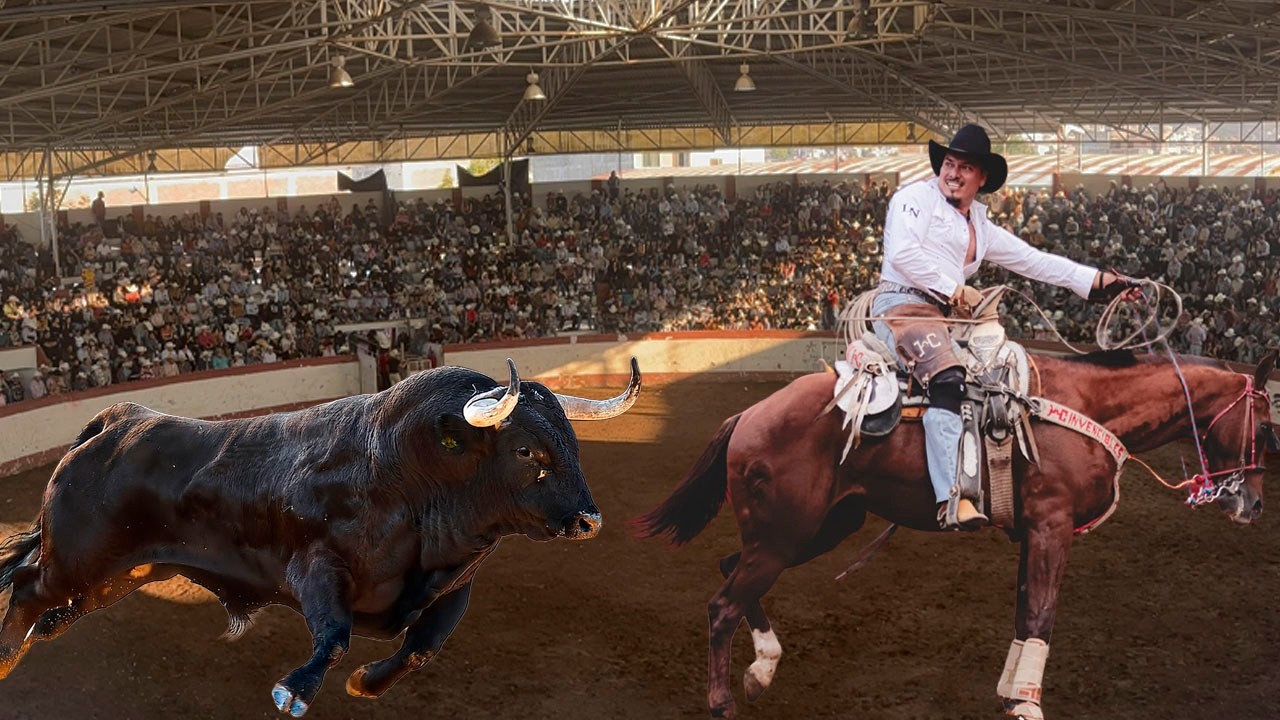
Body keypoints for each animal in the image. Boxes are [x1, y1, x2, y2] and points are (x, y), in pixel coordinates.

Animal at [631, 349, 1279, 719]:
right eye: (1268, 427)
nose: (1252, 503)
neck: (1083, 407)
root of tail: (749, 414)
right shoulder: (1052, 528)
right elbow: (1041, 616)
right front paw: (1027, 706)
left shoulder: (1033, 534)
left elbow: (1024, 614)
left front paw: (1010, 693)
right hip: (785, 537)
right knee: (721, 605)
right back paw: (722, 701)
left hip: (818, 528)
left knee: (728, 573)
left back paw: (762, 669)